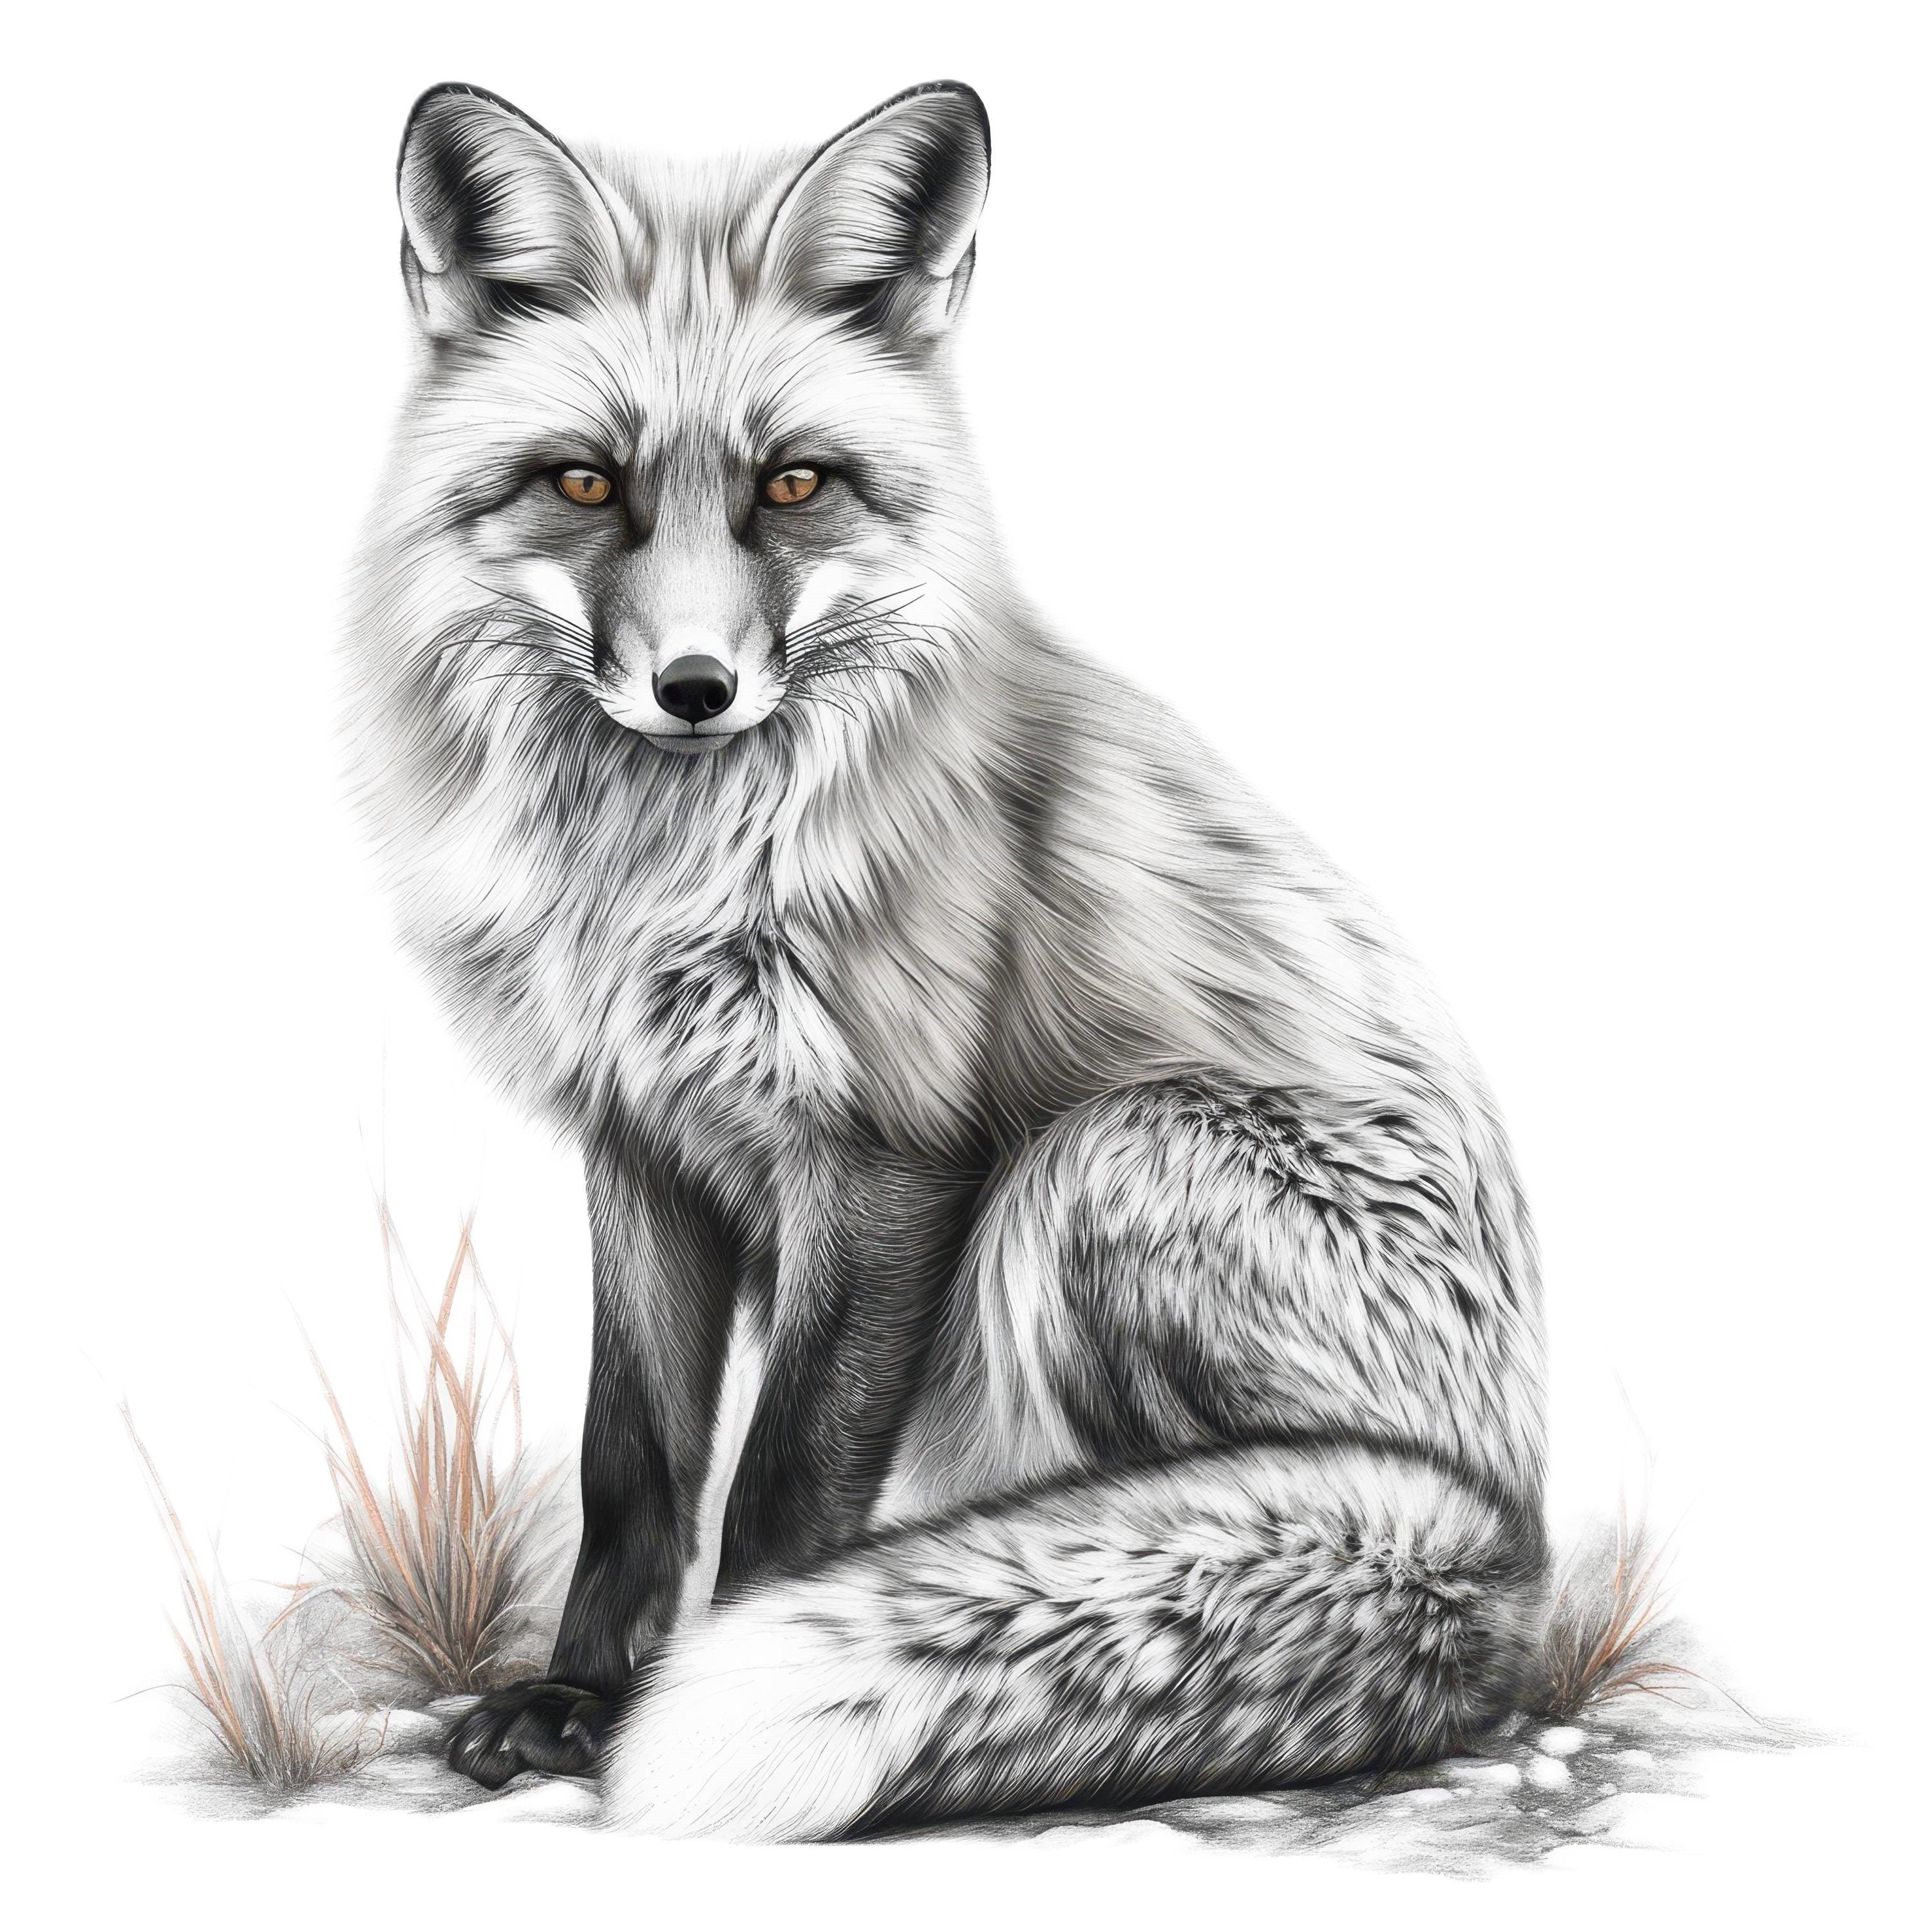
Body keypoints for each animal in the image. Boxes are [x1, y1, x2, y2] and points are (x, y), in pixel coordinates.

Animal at [343, 78, 1549, 1841]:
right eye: (583, 485)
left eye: (793, 486)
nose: (696, 687)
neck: (659, 875)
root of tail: (1515, 1542)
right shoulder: (641, 1137)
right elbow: (631, 1463)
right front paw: (574, 1698)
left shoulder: (887, 1149)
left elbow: (781, 1489)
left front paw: (687, 1693)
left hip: (1096, 1163)